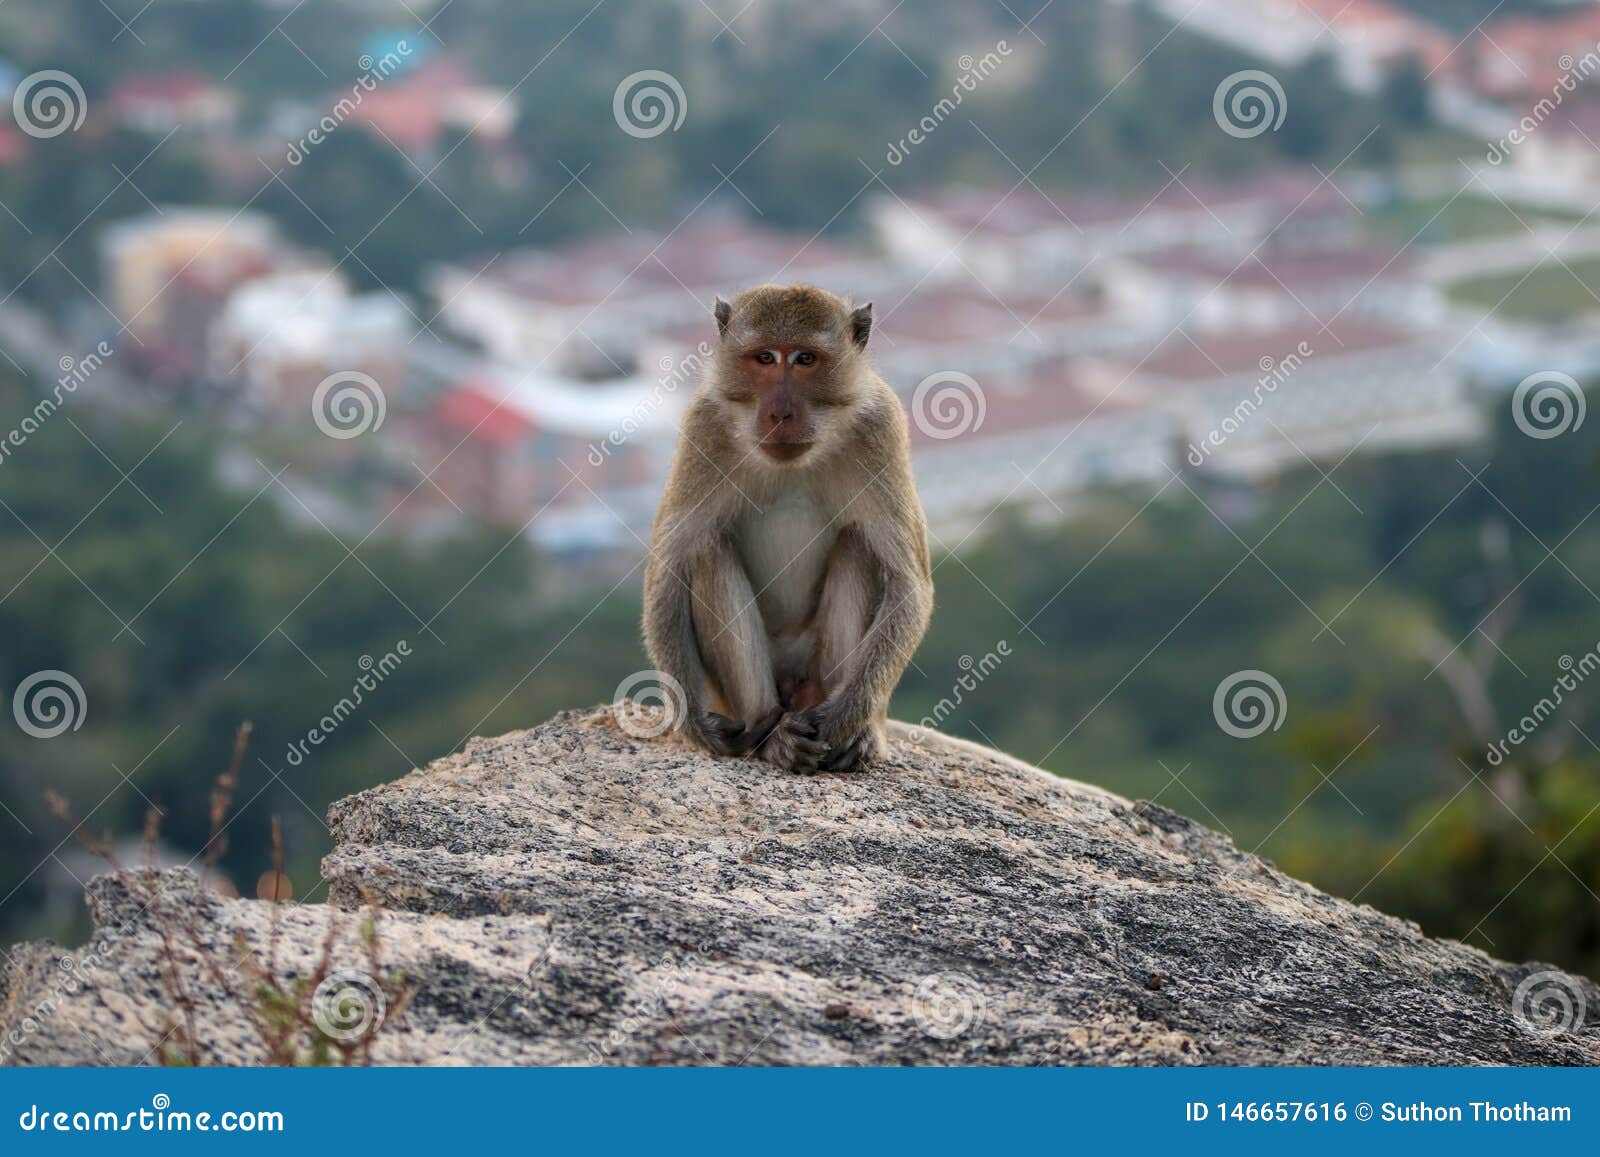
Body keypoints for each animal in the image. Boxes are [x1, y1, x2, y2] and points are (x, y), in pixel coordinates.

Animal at [641, 284, 933, 772]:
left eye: (804, 359)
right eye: (764, 358)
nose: (780, 413)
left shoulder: (881, 427)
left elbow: (908, 584)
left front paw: (842, 719)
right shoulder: (704, 426)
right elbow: (669, 571)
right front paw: (696, 725)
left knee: (859, 545)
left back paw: (856, 733)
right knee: (708, 550)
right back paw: (772, 734)